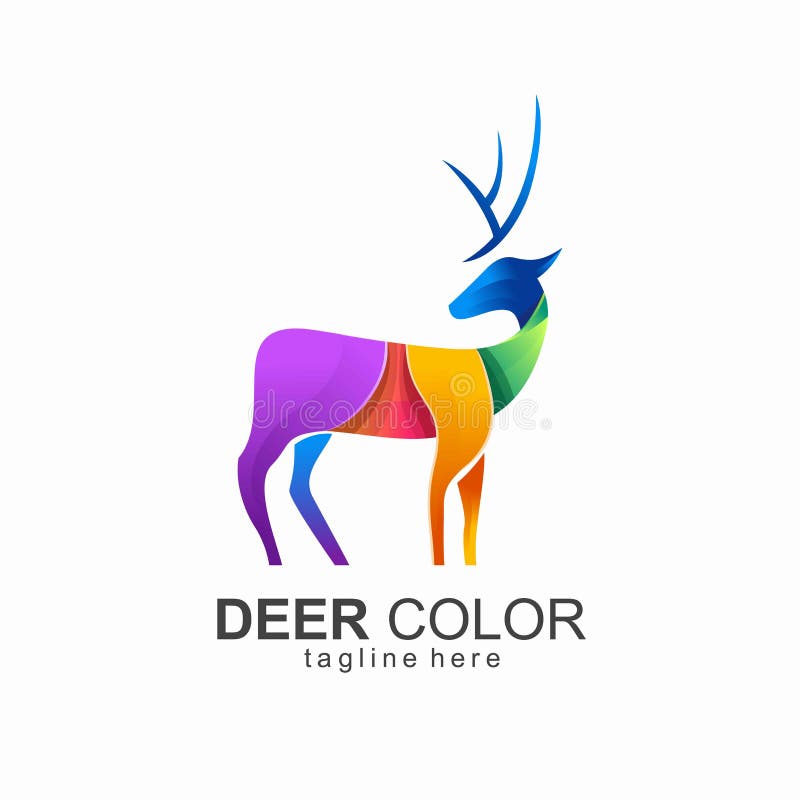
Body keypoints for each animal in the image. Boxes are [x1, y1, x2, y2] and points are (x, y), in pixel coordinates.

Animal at [238, 98, 560, 566]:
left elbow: (470, 525)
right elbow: (435, 515)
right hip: (274, 421)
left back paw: (341, 561)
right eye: (488, 272)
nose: (454, 306)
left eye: (500, 277)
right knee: (249, 468)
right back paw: (277, 560)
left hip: (320, 429)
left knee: (298, 483)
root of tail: (265, 345)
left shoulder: (478, 456)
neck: (493, 364)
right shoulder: (451, 447)